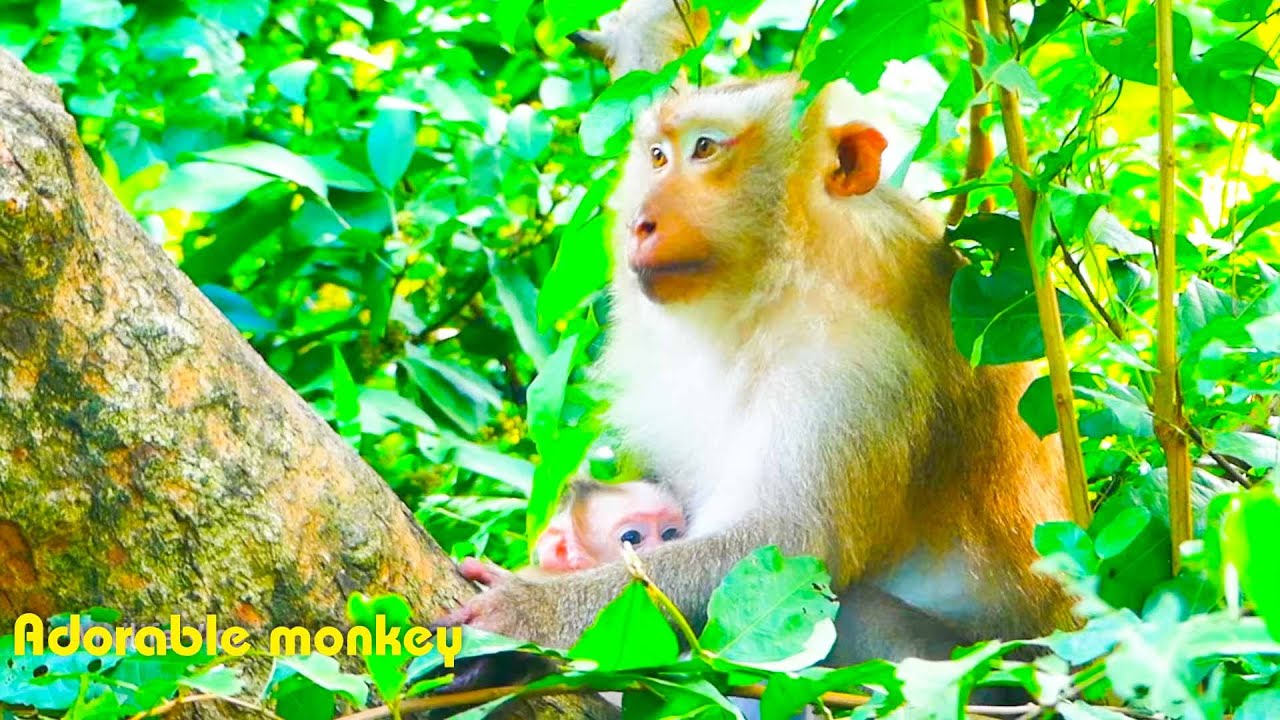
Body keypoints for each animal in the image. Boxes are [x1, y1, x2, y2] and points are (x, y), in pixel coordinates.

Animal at [437, 74, 1074, 676]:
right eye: (658, 157)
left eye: (704, 148)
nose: (639, 223)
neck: (783, 279)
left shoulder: (855, 360)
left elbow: (785, 545)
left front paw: (527, 610)